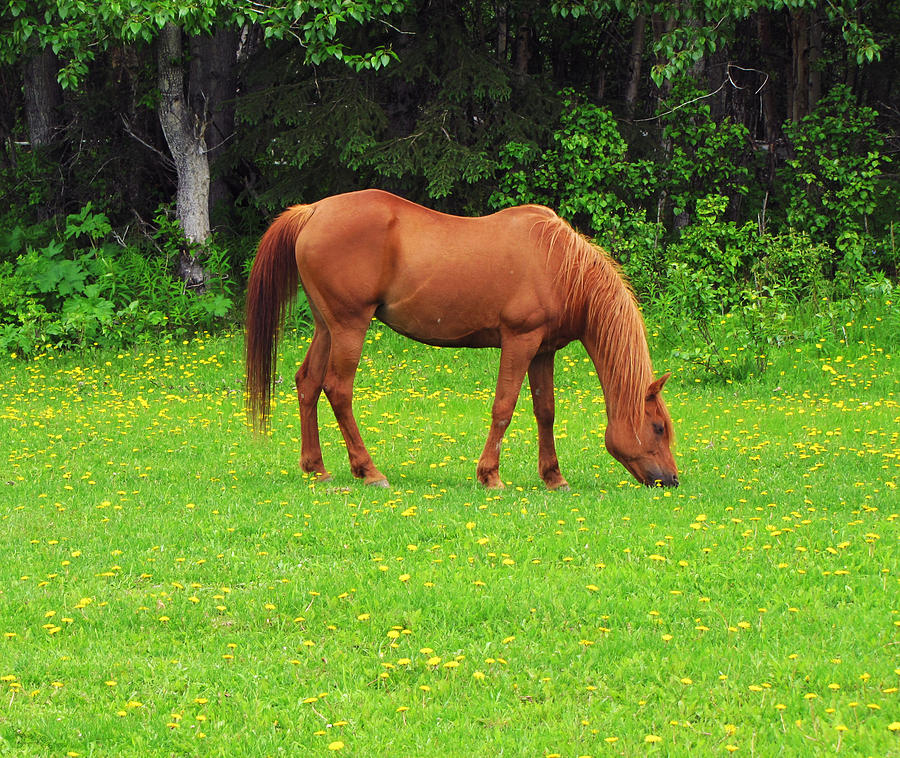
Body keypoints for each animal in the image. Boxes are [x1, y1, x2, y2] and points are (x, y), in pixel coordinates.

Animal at [245, 189, 678, 489]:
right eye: (658, 428)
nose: (671, 480)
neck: (560, 265)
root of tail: (313, 211)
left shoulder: (543, 351)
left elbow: (545, 411)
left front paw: (554, 477)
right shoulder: (520, 341)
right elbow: (504, 407)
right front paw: (490, 476)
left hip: (326, 327)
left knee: (308, 383)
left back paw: (316, 468)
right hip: (350, 326)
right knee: (338, 389)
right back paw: (369, 471)